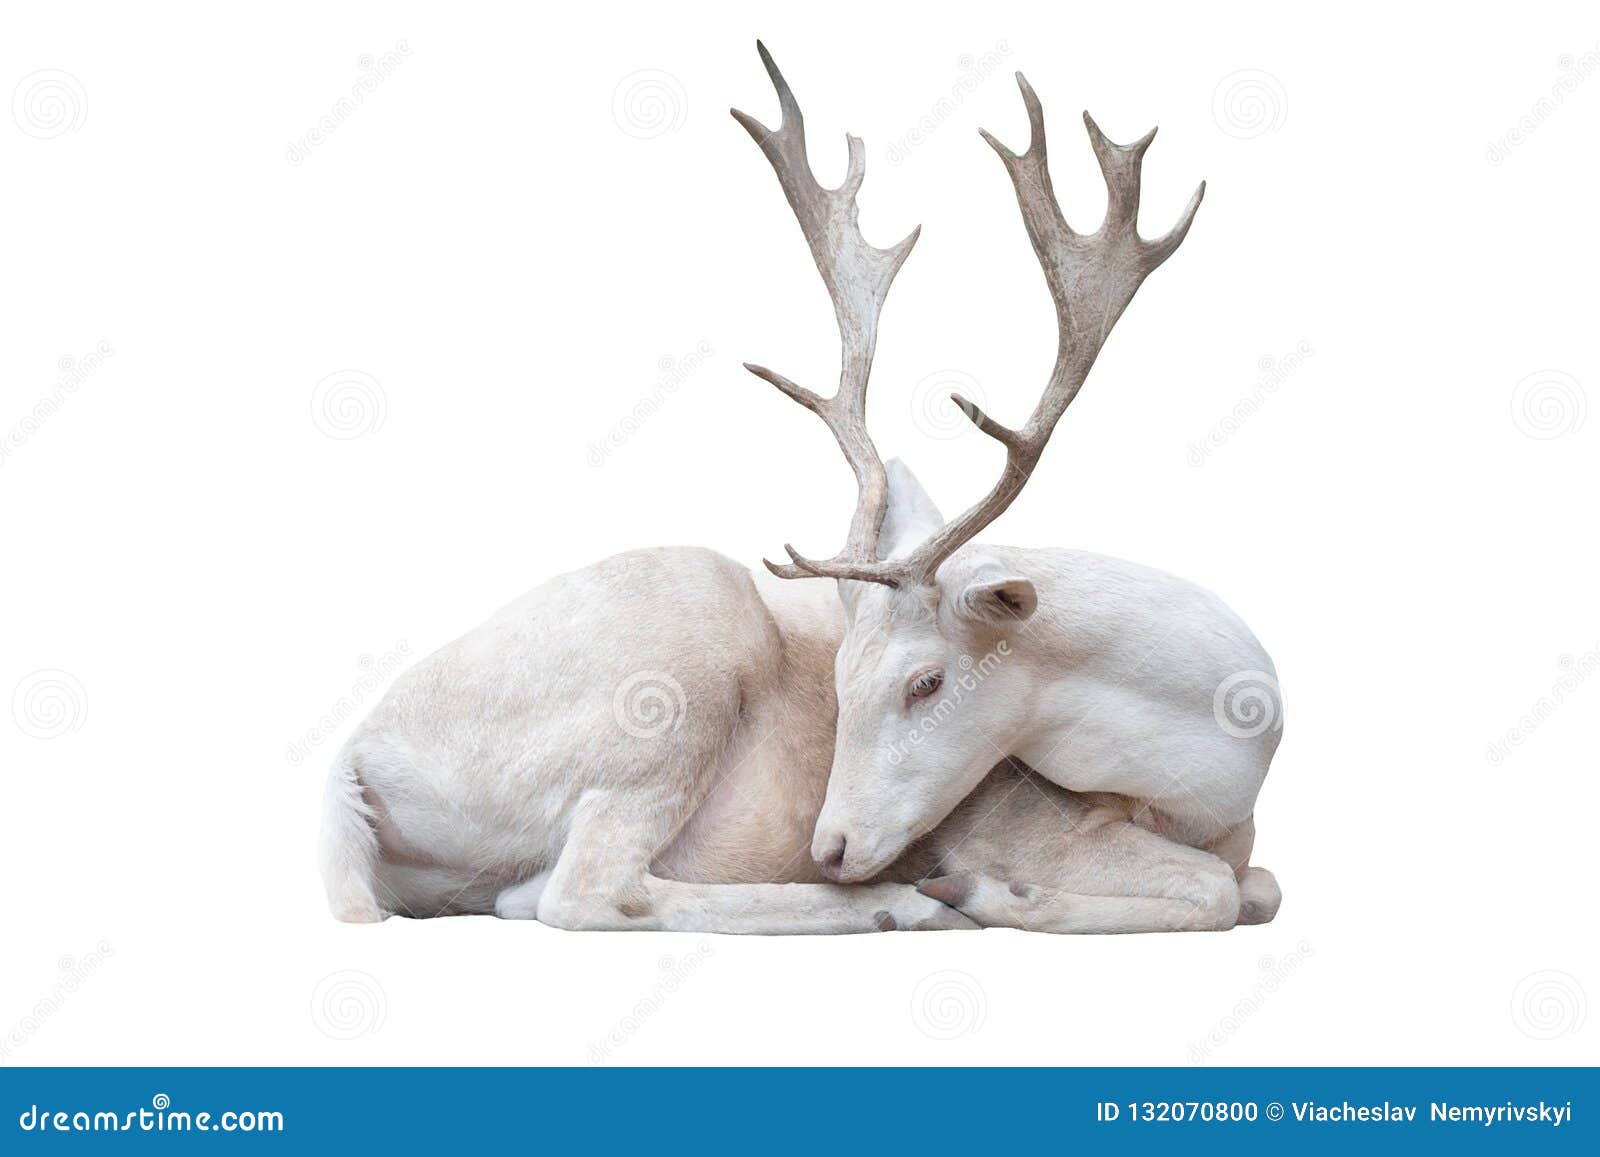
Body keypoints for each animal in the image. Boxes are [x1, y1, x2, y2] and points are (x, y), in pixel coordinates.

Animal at [318, 43, 1282, 934]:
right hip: (678, 656)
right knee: (580, 888)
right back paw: (903, 905)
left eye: (926, 682)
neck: (1220, 764)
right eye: (840, 681)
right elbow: (1216, 890)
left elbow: (1257, 885)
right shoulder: (1004, 817)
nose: (834, 846)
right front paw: (989, 892)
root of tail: (352, 762)